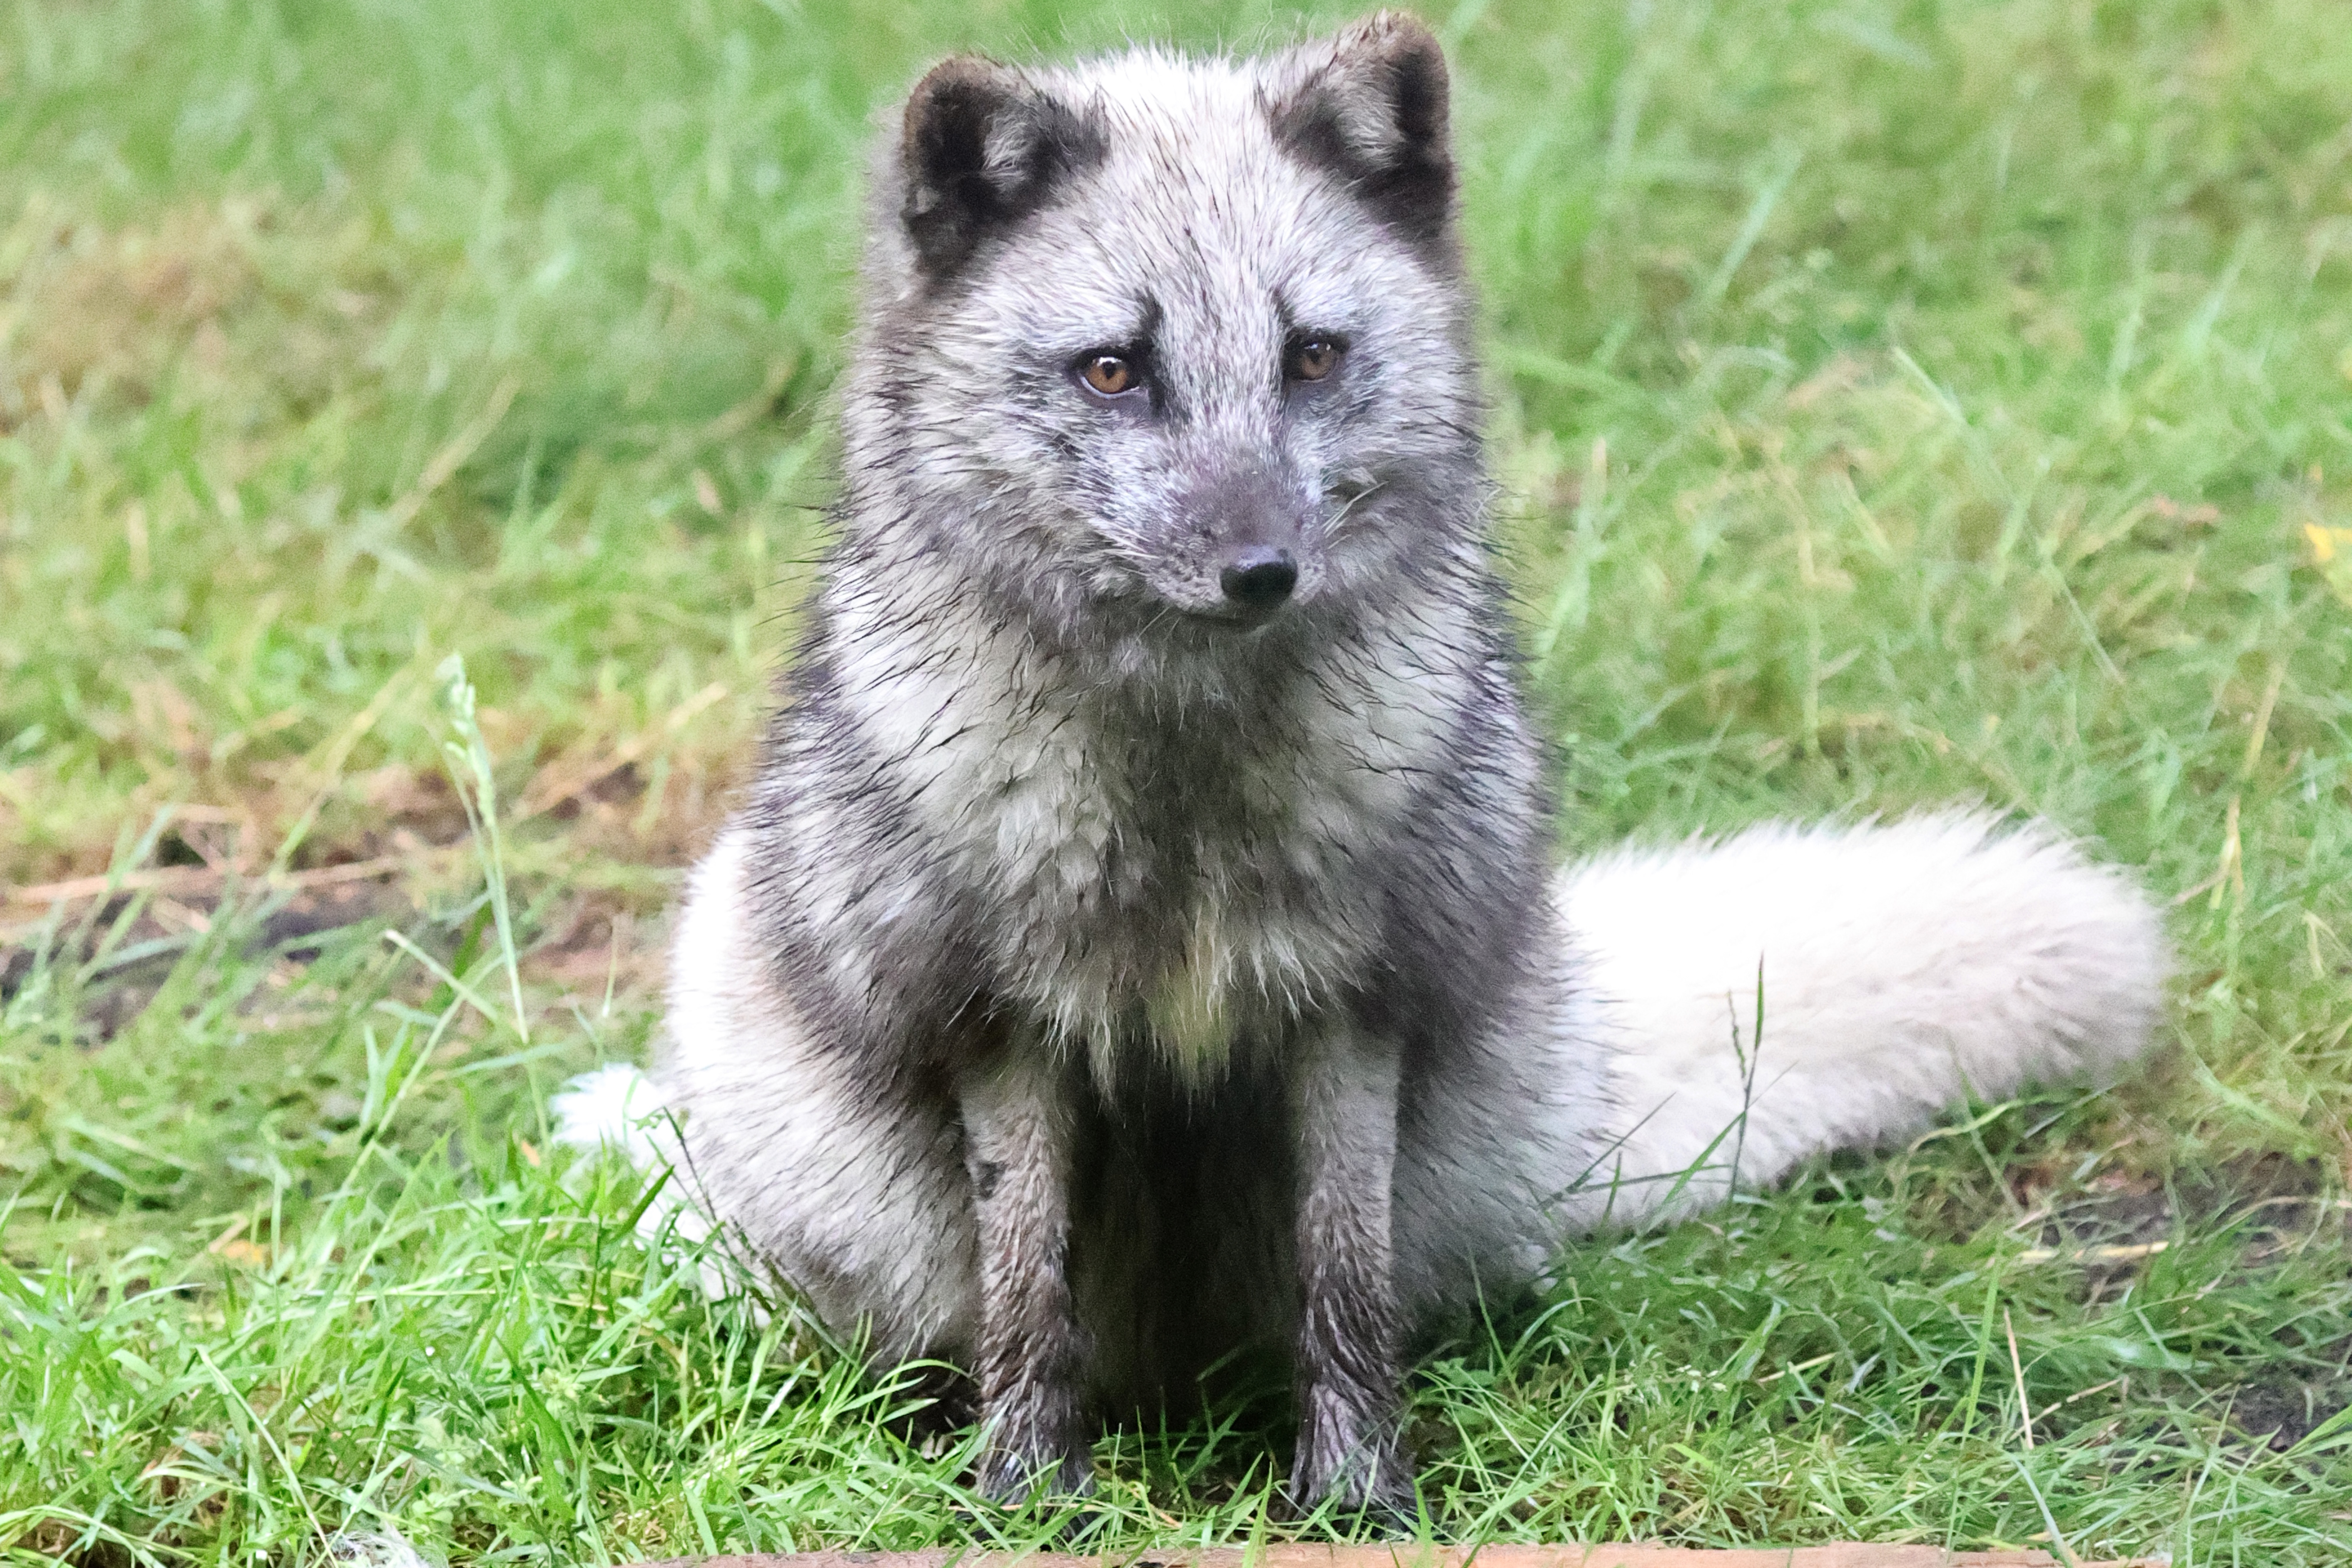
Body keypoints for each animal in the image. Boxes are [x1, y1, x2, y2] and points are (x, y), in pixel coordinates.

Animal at [556, 12, 2168, 1522]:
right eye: (1113, 369)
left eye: (1313, 355)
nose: (1261, 571)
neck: (1186, 794)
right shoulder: (1004, 1028)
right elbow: (1029, 1291)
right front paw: (1028, 1496)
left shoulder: (1350, 1005)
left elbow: (1345, 1285)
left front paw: (1354, 1496)